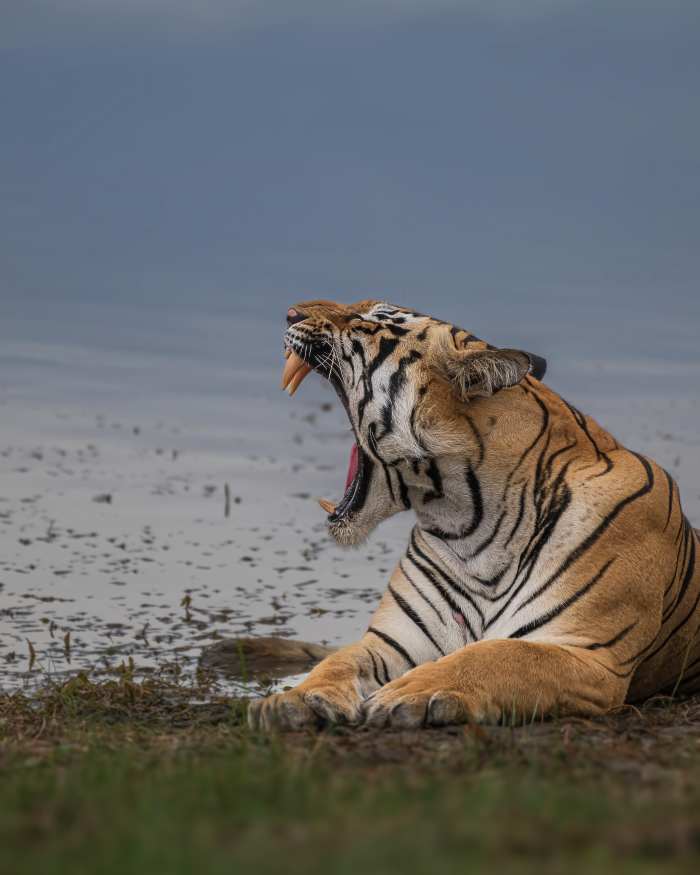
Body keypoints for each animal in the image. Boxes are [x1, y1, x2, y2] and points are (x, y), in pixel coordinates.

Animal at [247, 298, 700, 731]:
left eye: (373, 320)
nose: (290, 312)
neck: (469, 522)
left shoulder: (589, 652)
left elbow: (497, 656)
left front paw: (409, 694)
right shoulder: (393, 641)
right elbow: (338, 660)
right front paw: (295, 699)